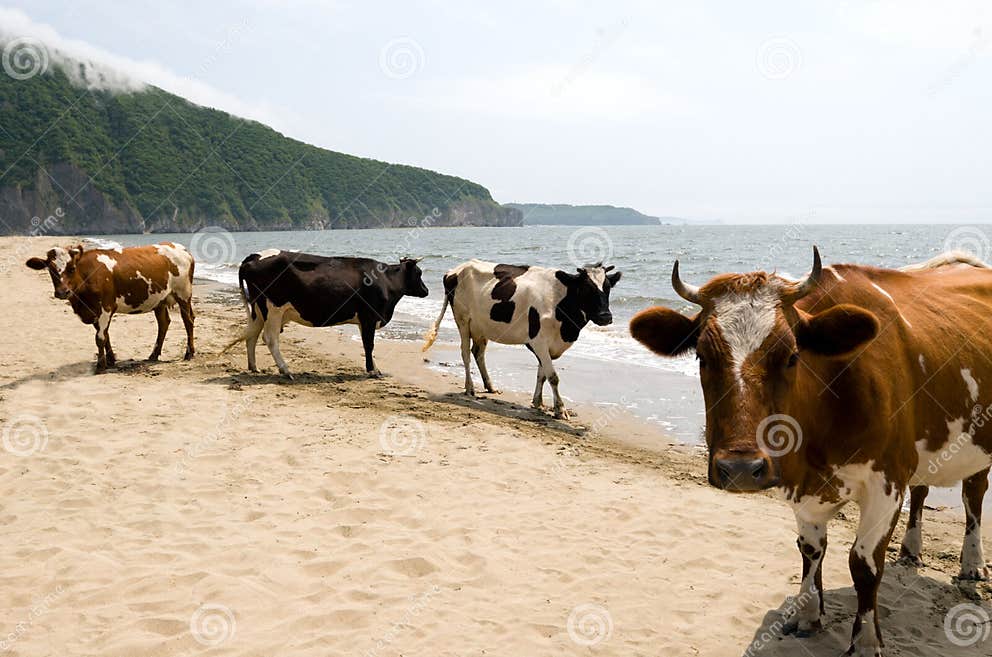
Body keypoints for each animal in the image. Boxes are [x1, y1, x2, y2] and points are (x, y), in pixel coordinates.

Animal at [26, 243, 195, 372]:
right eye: (50, 269)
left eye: (72, 268)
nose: (62, 292)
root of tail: (180, 248)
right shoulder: (93, 310)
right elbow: (105, 335)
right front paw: (111, 359)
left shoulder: (105, 307)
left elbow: (100, 337)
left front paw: (101, 366)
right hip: (159, 300)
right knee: (163, 323)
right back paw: (153, 355)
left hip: (183, 294)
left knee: (188, 321)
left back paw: (189, 353)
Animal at [229, 250, 429, 378]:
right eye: (419, 273)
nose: (426, 291)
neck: (386, 280)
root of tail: (256, 256)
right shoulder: (369, 317)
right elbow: (369, 345)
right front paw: (372, 371)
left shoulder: (365, 320)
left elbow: (368, 345)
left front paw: (374, 369)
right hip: (273, 310)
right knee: (270, 338)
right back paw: (285, 370)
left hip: (258, 310)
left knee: (252, 335)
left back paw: (254, 367)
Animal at [422, 260, 621, 419]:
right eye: (586, 288)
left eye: (608, 287)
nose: (605, 317)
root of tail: (455, 269)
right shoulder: (539, 341)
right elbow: (553, 376)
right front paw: (560, 410)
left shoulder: (546, 344)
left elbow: (542, 374)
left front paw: (538, 402)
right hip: (462, 320)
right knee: (465, 353)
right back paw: (469, 388)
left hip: (481, 327)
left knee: (478, 353)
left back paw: (490, 386)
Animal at [628, 247, 992, 656]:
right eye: (702, 357)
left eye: (791, 355)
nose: (739, 468)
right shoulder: (800, 484)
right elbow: (810, 548)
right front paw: (808, 615)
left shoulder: (886, 480)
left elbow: (864, 563)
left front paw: (865, 641)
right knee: (923, 488)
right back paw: (911, 549)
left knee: (974, 493)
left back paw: (972, 565)